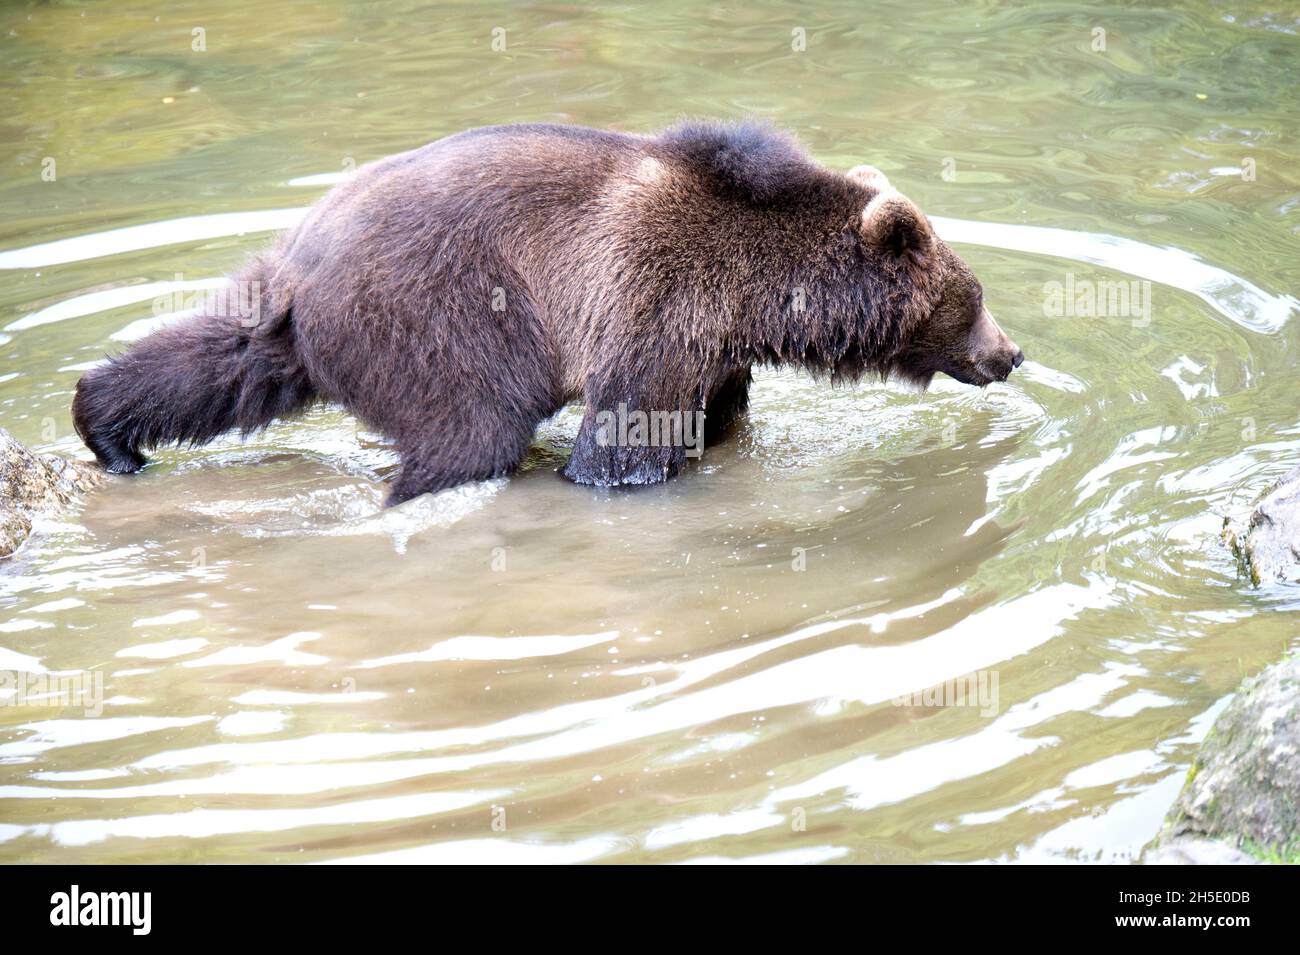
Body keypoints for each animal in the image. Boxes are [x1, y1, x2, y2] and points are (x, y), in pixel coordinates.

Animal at [72, 121, 1024, 505]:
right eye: (974, 297)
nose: (1011, 352)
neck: (761, 293)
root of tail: (310, 266)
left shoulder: (713, 346)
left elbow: (715, 416)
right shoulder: (651, 305)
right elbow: (624, 444)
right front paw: (612, 475)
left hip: (285, 319)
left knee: (217, 359)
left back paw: (109, 431)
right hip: (440, 316)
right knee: (470, 433)